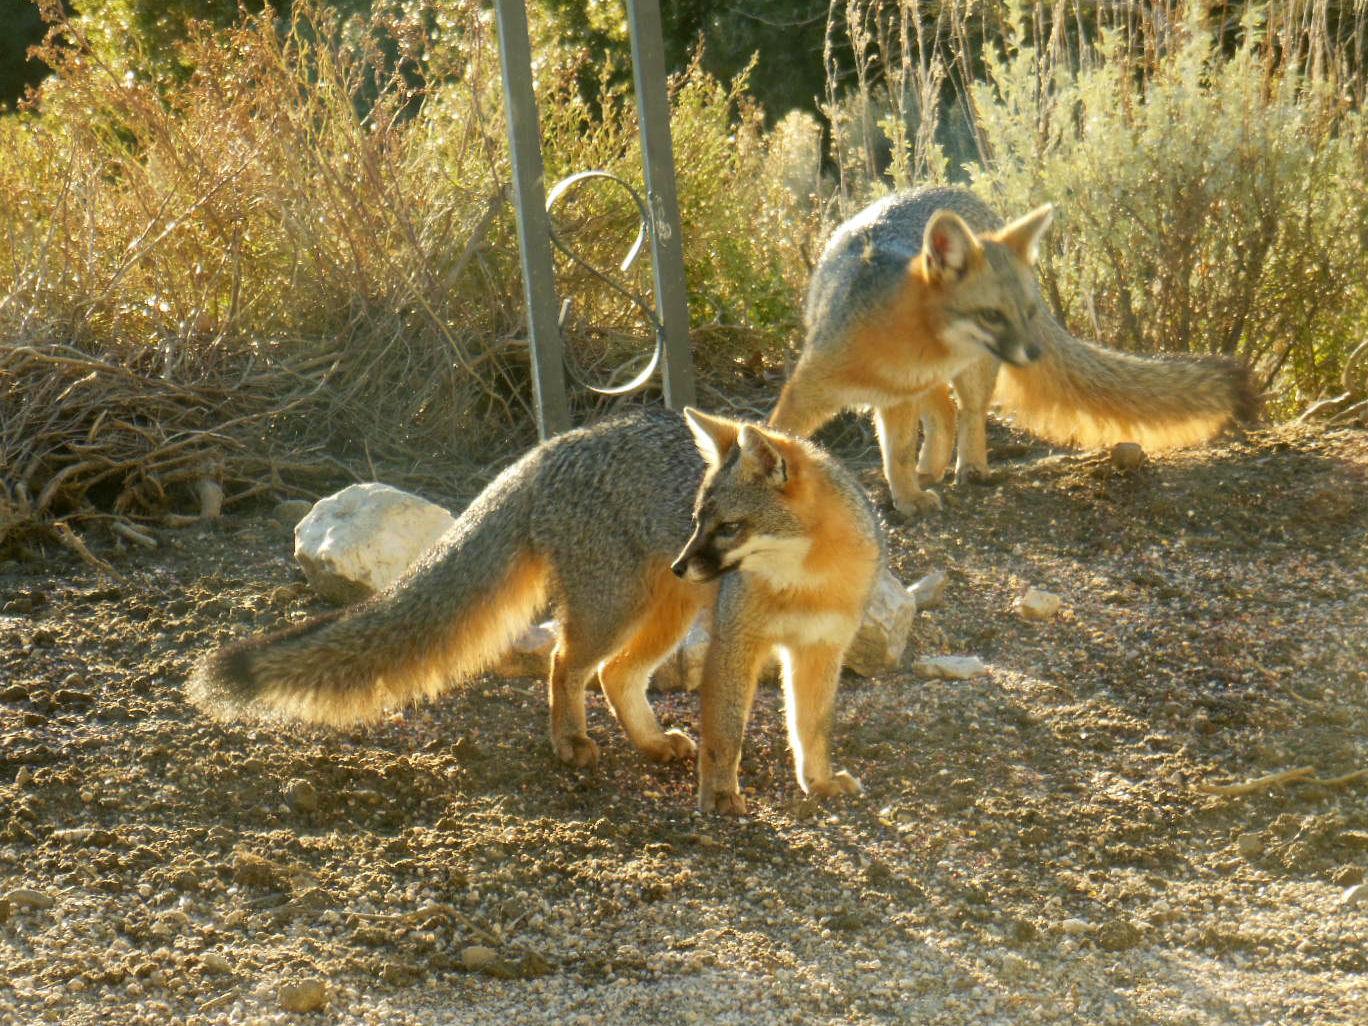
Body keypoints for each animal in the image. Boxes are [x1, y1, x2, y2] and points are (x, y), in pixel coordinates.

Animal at [187, 408, 880, 814]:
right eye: (696, 521)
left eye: (729, 527)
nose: (685, 563)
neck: (806, 584)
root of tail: (551, 447)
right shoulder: (738, 643)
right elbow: (726, 732)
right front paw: (721, 795)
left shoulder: (821, 651)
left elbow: (812, 728)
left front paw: (819, 783)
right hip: (620, 609)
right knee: (566, 664)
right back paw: (569, 742)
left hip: (664, 613)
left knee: (615, 675)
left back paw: (651, 742)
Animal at [769, 187, 1258, 515]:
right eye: (992, 315)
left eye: (1025, 312)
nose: (1035, 352)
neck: (894, 342)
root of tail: (965, 194)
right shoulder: (813, 388)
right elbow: (778, 435)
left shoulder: (898, 400)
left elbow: (901, 456)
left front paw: (906, 497)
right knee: (945, 410)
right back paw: (936, 469)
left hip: (973, 375)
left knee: (964, 413)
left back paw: (970, 469)